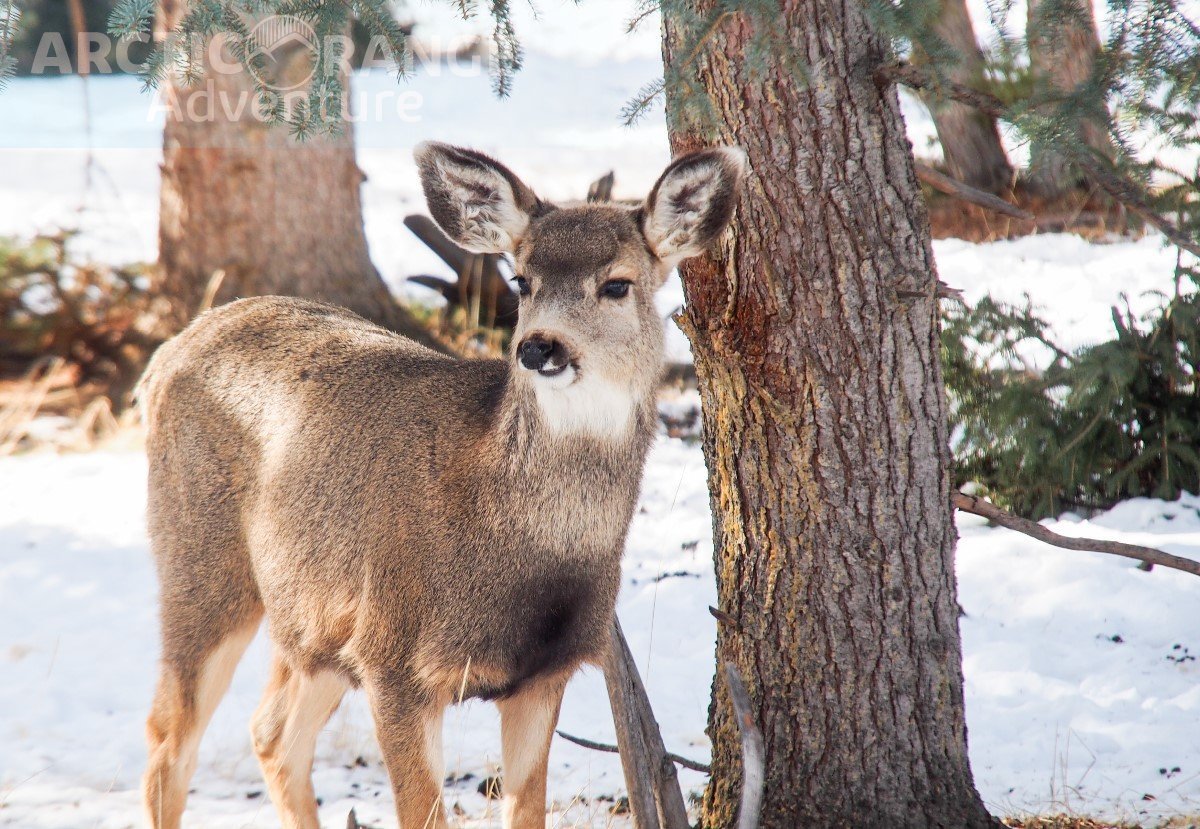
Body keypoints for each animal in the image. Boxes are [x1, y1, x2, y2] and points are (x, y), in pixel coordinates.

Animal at [137, 141, 745, 829]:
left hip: (314, 620)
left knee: (270, 732)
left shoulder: (543, 672)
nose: (538, 347)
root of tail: (169, 353)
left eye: (617, 284)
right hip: (201, 562)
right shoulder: (393, 657)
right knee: (168, 740)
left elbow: (526, 810)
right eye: (522, 280)